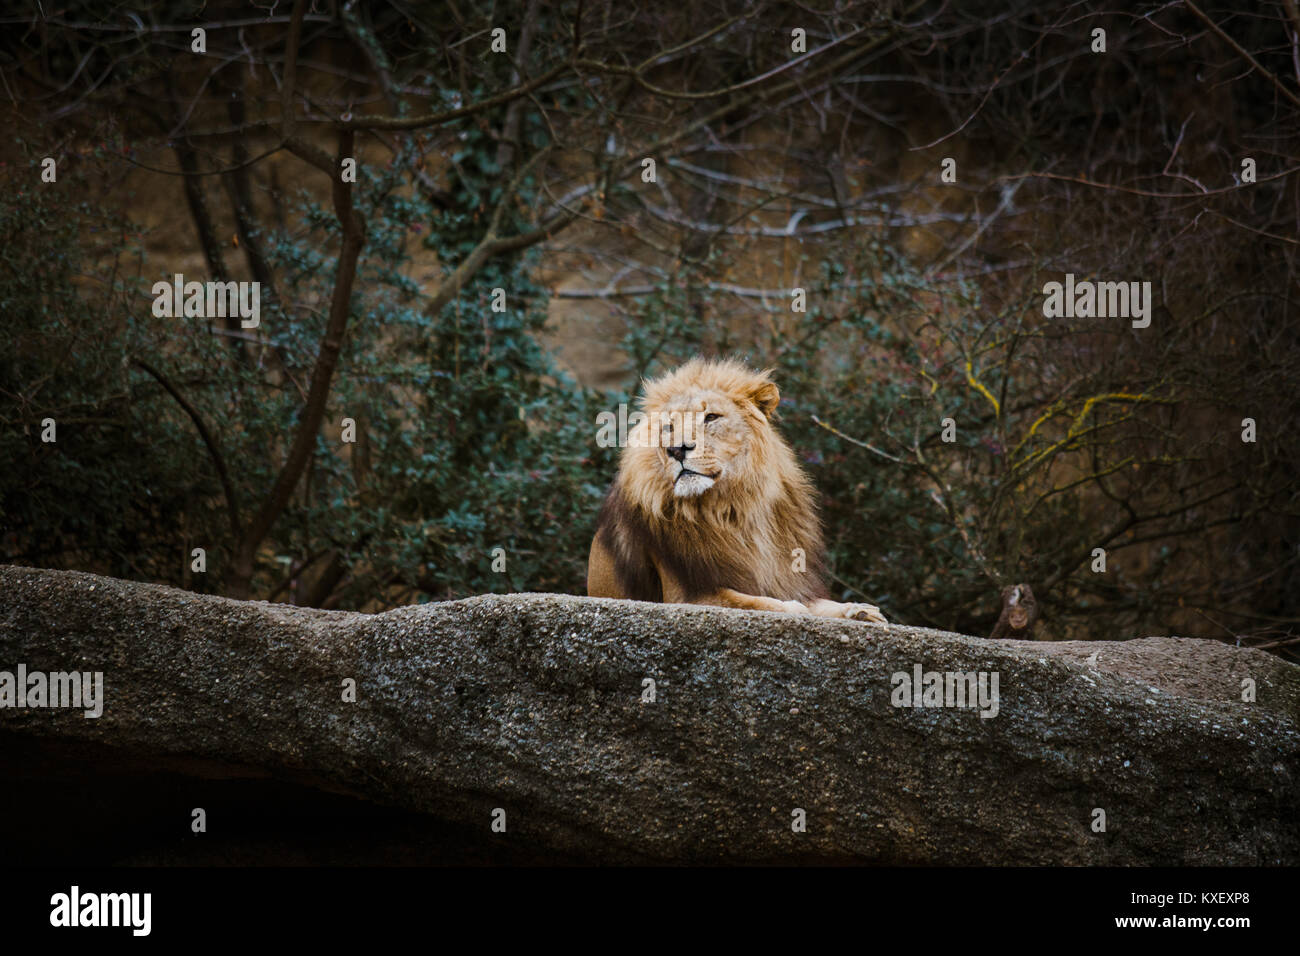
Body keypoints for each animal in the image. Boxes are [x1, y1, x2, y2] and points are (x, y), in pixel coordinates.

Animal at [587, 357, 887, 623]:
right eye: (668, 427)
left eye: (711, 417)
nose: (676, 449)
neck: (732, 506)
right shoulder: (685, 596)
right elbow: (754, 602)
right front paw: (795, 609)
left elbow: (815, 602)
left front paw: (858, 610)